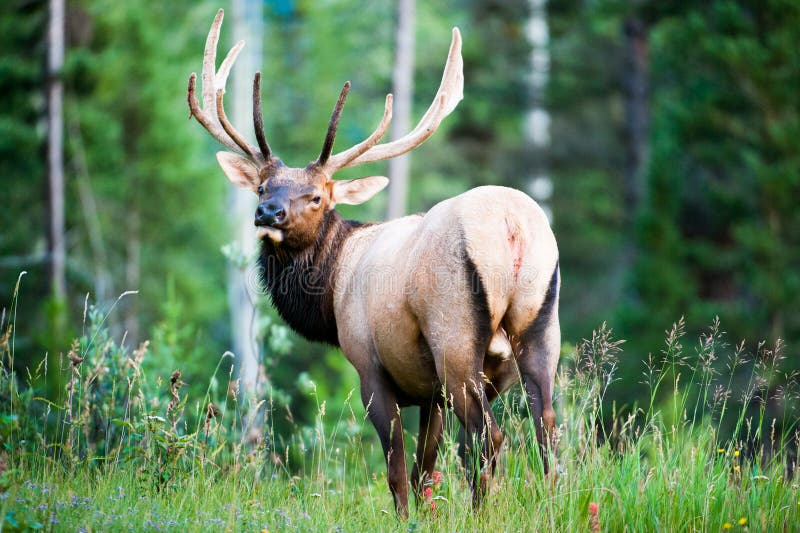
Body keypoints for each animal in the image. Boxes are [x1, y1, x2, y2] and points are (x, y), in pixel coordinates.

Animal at [188, 7, 564, 516]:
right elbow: (427, 467)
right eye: (262, 187)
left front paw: (406, 518)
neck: (329, 294)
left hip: (455, 338)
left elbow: (397, 471)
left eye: (317, 196)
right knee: (547, 429)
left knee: (489, 435)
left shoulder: (369, 365)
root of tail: (512, 225)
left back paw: (481, 513)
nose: (268, 213)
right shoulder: (431, 393)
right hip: (541, 325)